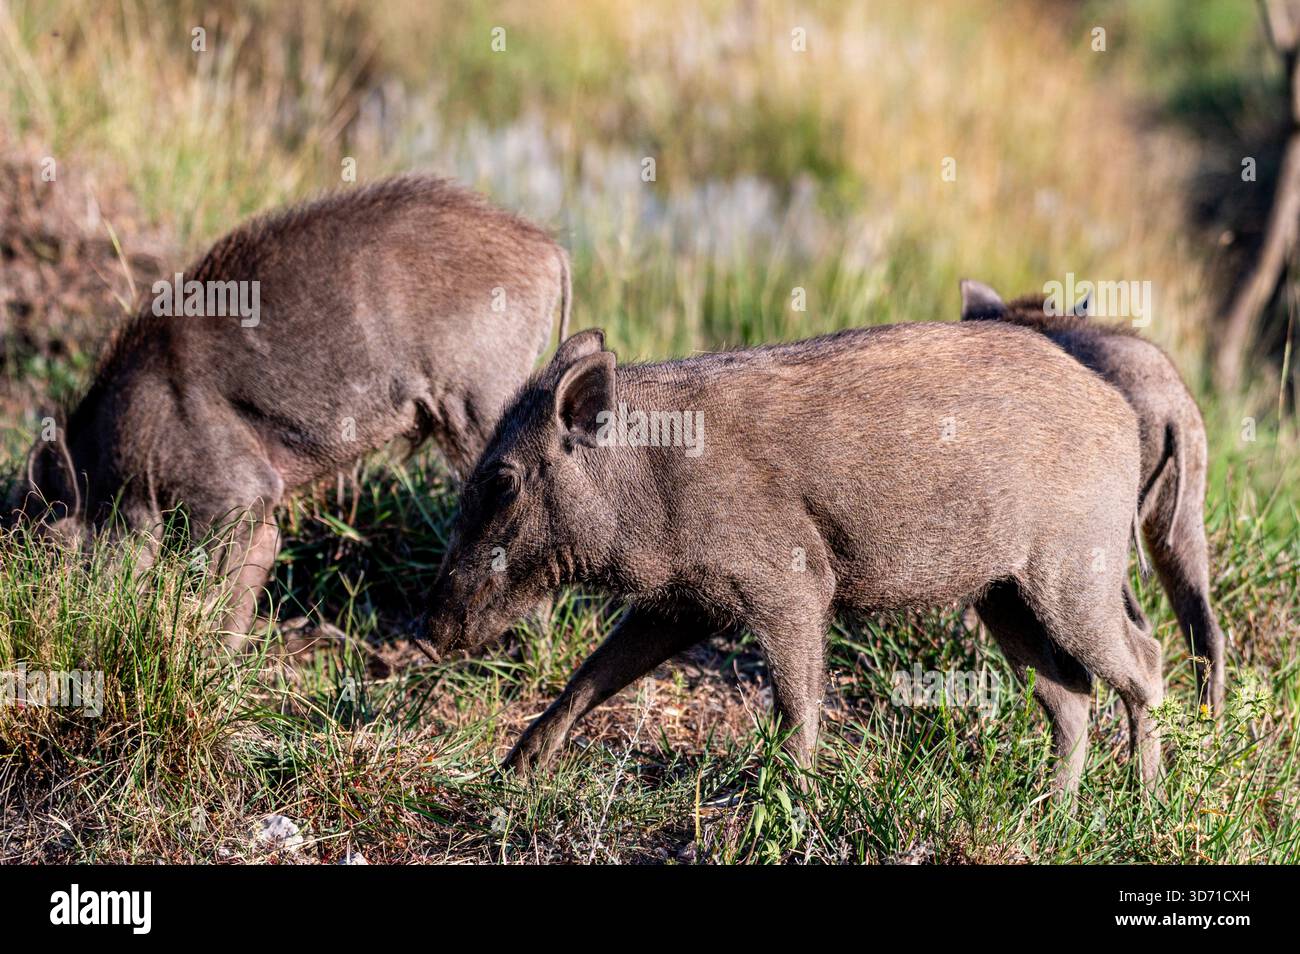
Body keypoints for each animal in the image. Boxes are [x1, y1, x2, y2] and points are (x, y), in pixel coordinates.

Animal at [10, 175, 571, 643]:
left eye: (49, 545)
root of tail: (551, 251)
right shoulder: (260, 512)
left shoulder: (236, 494)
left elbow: (214, 590)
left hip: (481, 405)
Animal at [419, 324, 1163, 794]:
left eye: (502, 481)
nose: (431, 632)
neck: (650, 476)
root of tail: (1123, 414)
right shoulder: (683, 604)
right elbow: (591, 676)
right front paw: (511, 773)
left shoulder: (793, 585)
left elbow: (797, 706)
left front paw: (790, 801)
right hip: (1003, 596)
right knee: (1070, 692)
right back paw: (1053, 811)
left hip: (1075, 575)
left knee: (1144, 662)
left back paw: (1144, 803)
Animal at [959, 279, 1225, 715]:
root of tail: (1172, 413)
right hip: (1182, 519)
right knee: (1205, 629)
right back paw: (1210, 727)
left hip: (1107, 530)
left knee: (1141, 624)